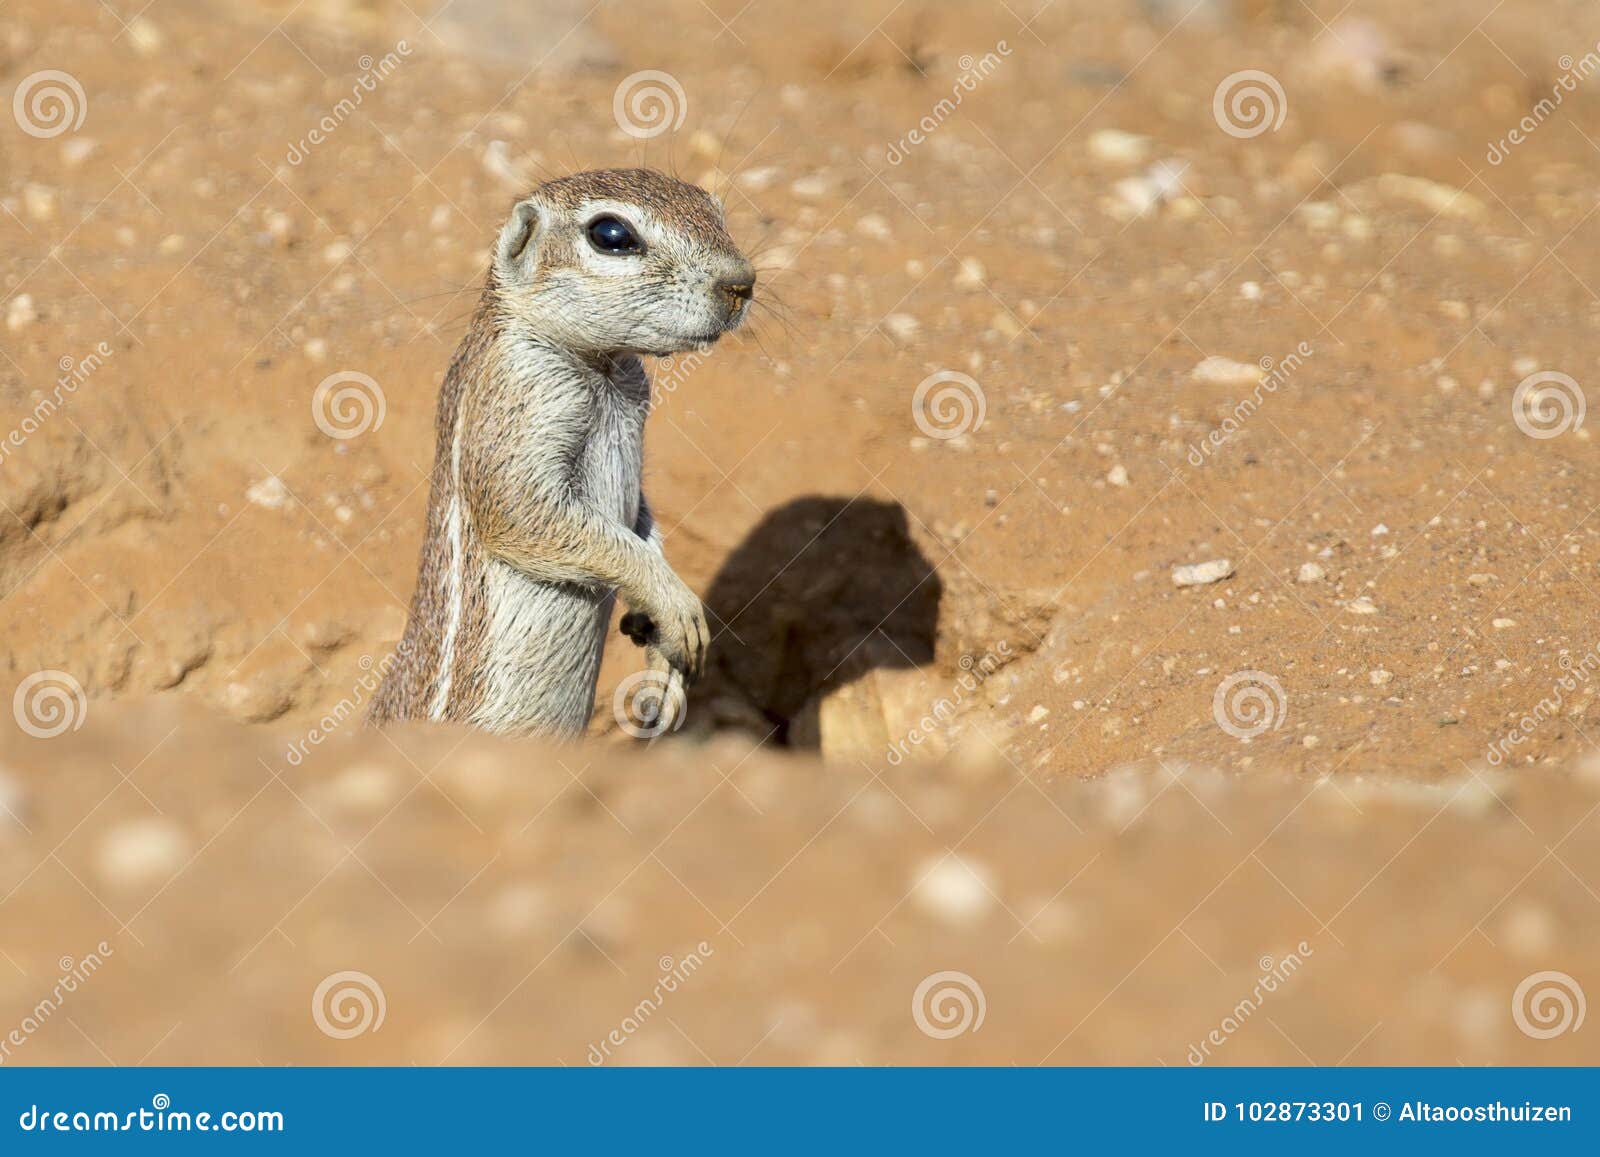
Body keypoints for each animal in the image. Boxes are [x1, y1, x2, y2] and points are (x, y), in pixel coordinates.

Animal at [369, 169, 755, 737]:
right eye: (611, 235)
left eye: (716, 211)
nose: (742, 282)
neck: (605, 368)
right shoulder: (519, 398)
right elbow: (527, 514)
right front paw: (675, 605)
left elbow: (642, 521)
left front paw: (662, 666)